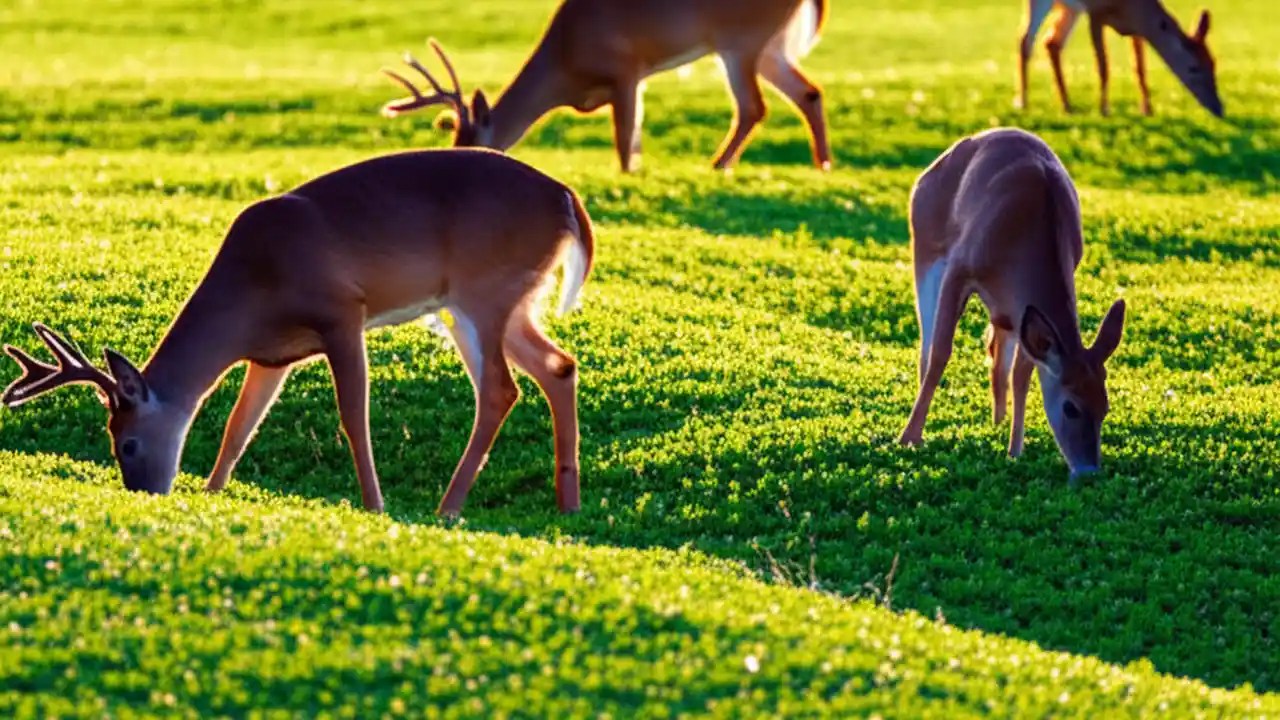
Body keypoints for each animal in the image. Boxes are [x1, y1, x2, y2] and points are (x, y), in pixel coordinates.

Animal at [2, 142, 595, 517]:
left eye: (125, 443)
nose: (146, 494)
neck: (253, 286)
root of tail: (567, 198)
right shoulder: (269, 357)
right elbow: (238, 427)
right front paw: (213, 493)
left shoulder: (342, 311)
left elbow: (353, 417)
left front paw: (374, 506)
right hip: (491, 305)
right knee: (557, 366)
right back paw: (568, 506)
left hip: (483, 293)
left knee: (500, 388)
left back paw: (447, 508)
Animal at [379, 0, 832, 173]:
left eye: (472, 142)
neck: (564, 62)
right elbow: (633, 137)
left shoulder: (626, 70)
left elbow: (624, 138)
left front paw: (630, 174)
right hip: (769, 47)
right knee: (808, 93)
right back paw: (823, 164)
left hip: (739, 43)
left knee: (753, 106)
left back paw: (718, 165)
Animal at [899, 127, 1127, 481]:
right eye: (1071, 407)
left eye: (1105, 407)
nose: (1089, 470)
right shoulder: (960, 267)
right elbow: (940, 353)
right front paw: (909, 437)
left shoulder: (1026, 309)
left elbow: (1022, 374)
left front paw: (1015, 450)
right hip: (924, 246)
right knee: (926, 343)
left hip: (1007, 312)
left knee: (997, 354)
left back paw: (997, 422)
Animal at [1016, 0, 1223, 117]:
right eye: (1193, 68)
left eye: (1213, 63)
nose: (1219, 109)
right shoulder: (1095, 13)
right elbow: (1103, 67)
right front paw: (1104, 110)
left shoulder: (1138, 29)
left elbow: (1140, 68)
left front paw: (1147, 109)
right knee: (1025, 41)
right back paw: (1023, 103)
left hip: (1071, 9)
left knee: (1052, 43)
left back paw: (1067, 106)